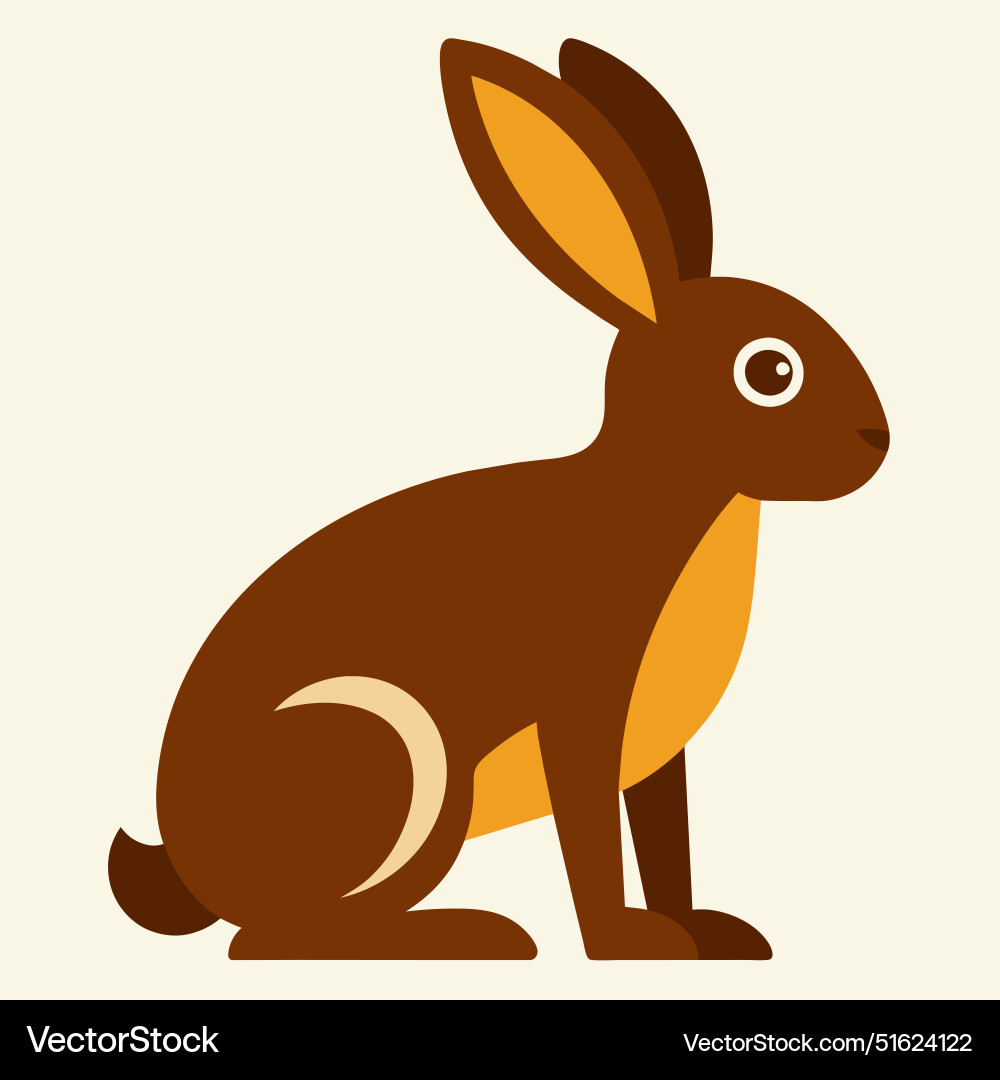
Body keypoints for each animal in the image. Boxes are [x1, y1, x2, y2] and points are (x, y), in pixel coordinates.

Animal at [108, 38, 889, 960]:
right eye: (771, 370)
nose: (878, 441)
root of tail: (191, 863)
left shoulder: (658, 755)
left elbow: (668, 839)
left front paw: (707, 935)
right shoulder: (579, 718)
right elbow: (592, 841)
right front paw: (625, 945)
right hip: (393, 757)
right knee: (273, 938)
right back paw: (471, 934)